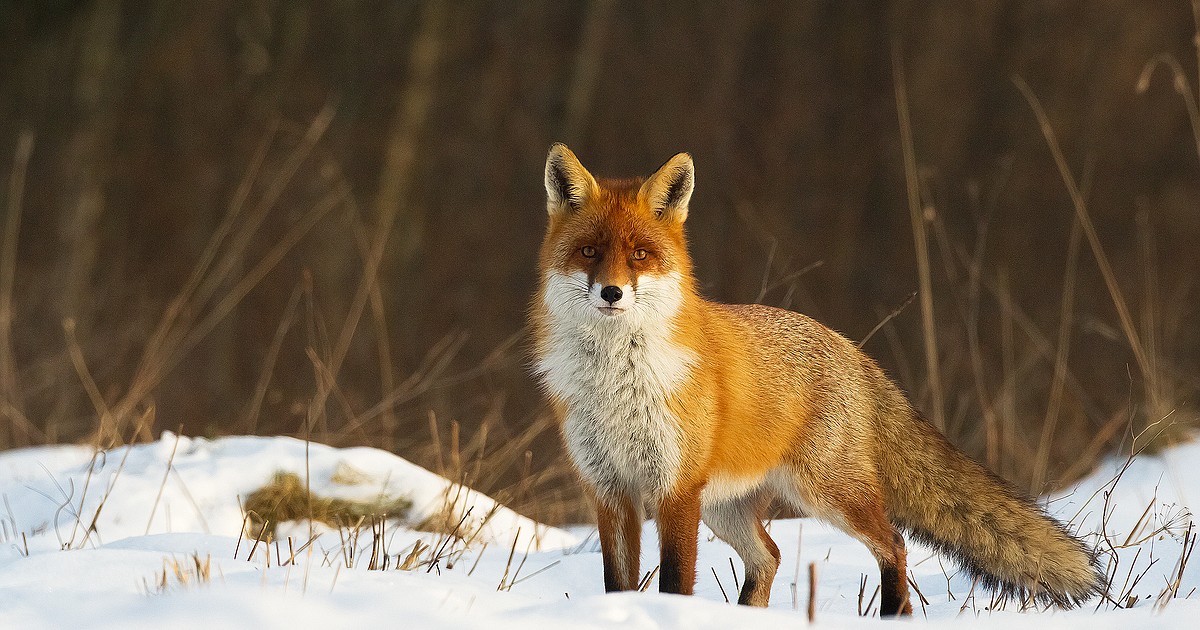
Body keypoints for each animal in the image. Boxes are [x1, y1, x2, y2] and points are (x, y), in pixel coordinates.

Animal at [529, 143, 1105, 615]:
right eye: (589, 251)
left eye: (640, 255)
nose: (611, 292)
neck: (617, 385)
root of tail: (851, 348)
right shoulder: (609, 491)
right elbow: (616, 585)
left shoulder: (676, 490)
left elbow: (674, 583)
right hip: (727, 509)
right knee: (771, 557)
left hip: (824, 492)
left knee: (893, 543)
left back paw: (891, 615)